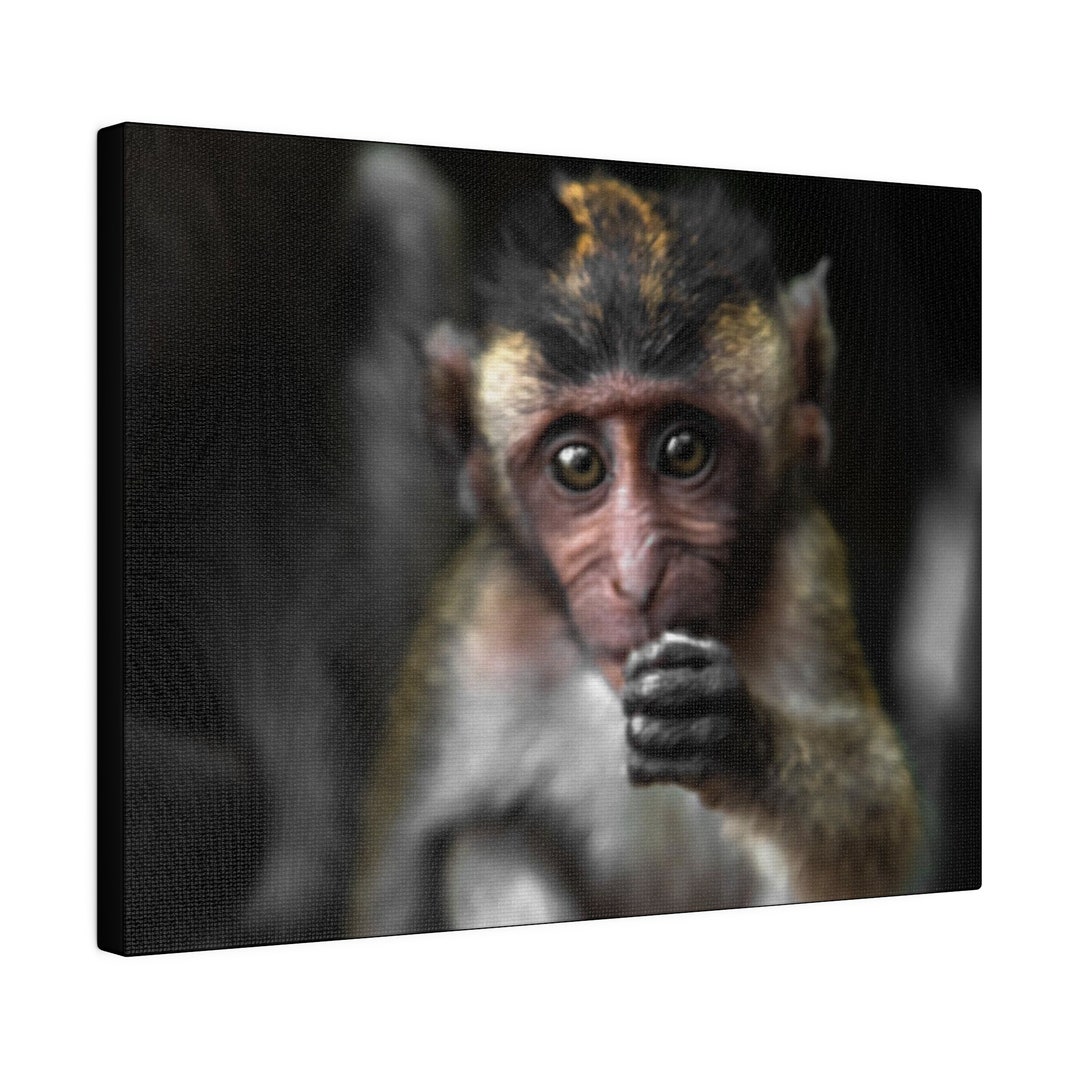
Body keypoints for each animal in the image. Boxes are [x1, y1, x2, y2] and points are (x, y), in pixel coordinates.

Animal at [350, 175, 919, 936]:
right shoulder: (474, 635)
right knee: (485, 844)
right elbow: (388, 897)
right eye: (578, 465)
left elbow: (878, 822)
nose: (638, 576)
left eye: (684, 450)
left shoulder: (808, 575)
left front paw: (738, 740)